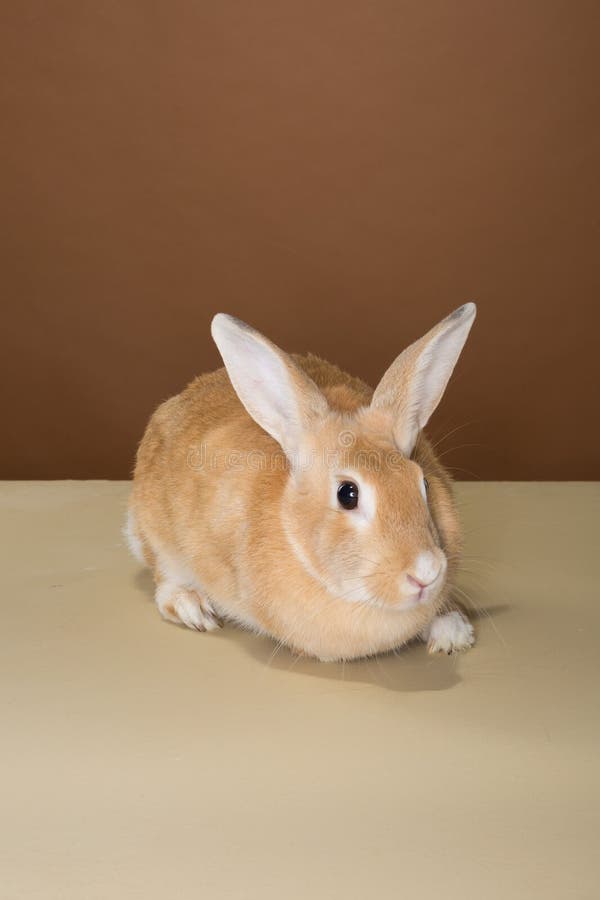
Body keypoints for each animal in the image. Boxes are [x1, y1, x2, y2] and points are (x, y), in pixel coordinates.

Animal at [126, 304, 477, 661]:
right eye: (347, 494)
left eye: (423, 484)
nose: (426, 572)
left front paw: (453, 634)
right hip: (157, 536)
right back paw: (192, 608)